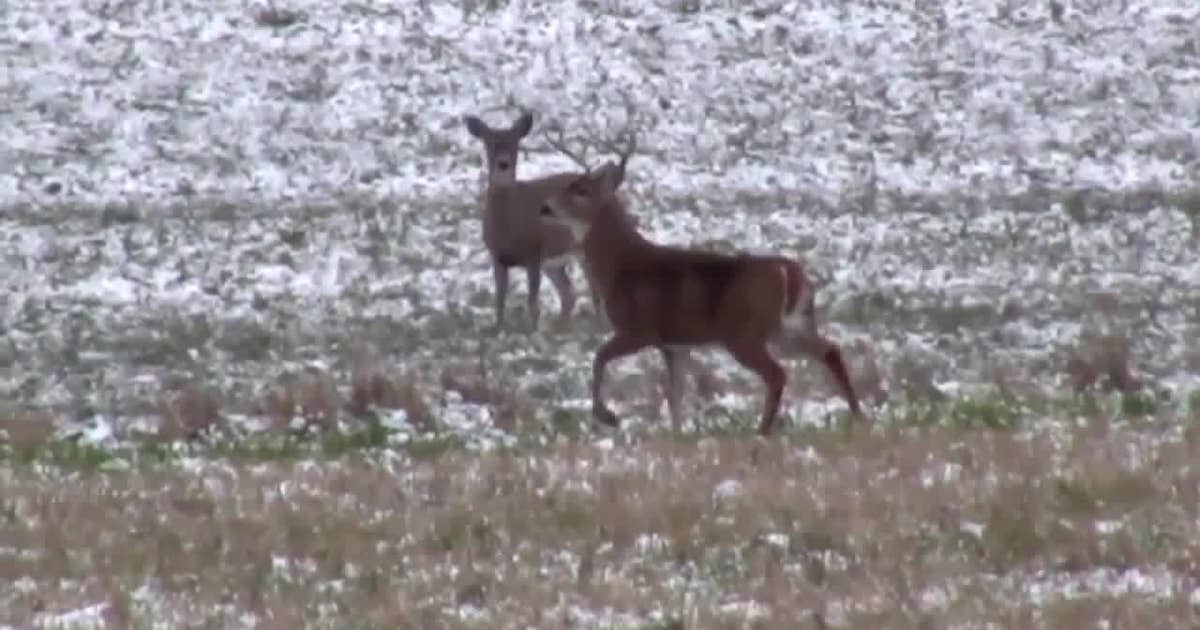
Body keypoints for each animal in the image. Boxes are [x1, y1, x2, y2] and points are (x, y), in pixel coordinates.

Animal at [539, 161, 864, 436]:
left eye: (580, 190)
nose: (545, 207)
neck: (619, 263)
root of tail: (788, 271)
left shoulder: (639, 329)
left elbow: (599, 357)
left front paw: (607, 416)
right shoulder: (674, 344)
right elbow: (675, 393)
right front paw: (677, 435)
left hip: (744, 332)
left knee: (777, 373)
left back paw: (761, 431)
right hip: (791, 326)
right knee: (830, 350)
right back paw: (857, 415)